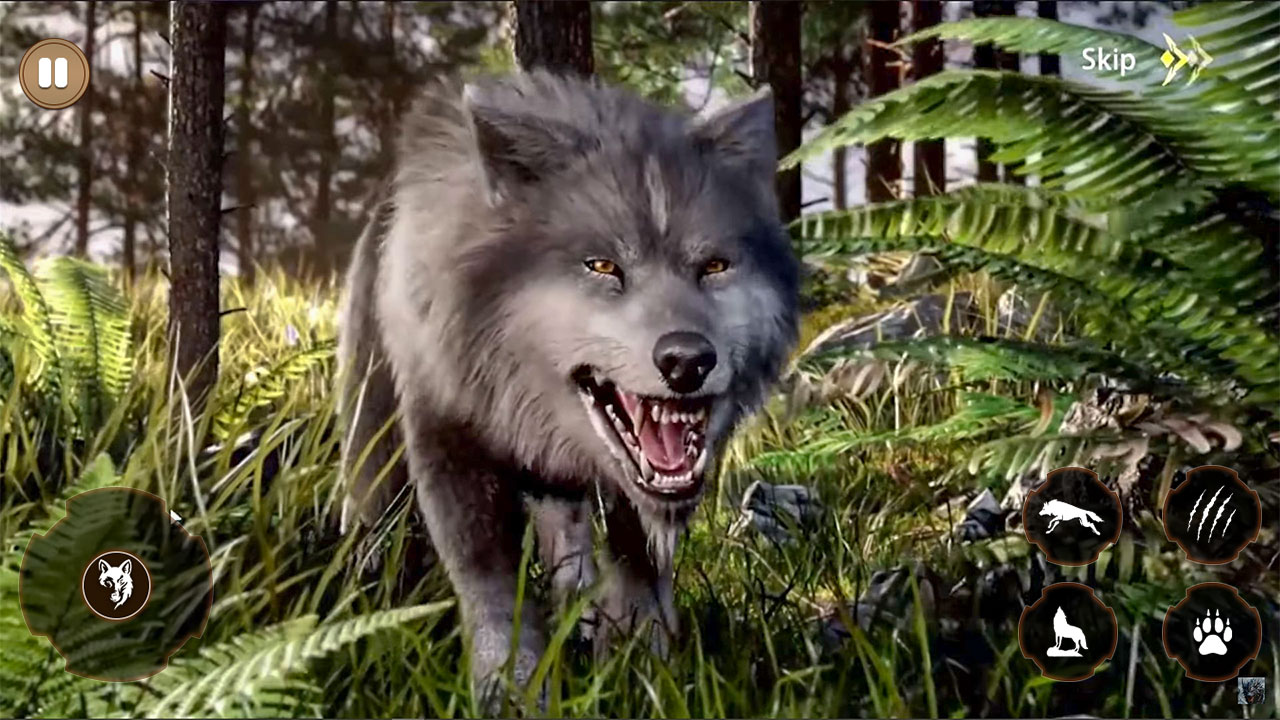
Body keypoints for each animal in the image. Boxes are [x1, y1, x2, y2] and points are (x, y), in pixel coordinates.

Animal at [337, 71, 799, 702]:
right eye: (602, 267)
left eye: (713, 267)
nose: (686, 359)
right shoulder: (448, 444)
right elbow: (491, 590)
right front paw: (510, 693)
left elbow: (639, 570)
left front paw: (642, 675)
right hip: (374, 448)